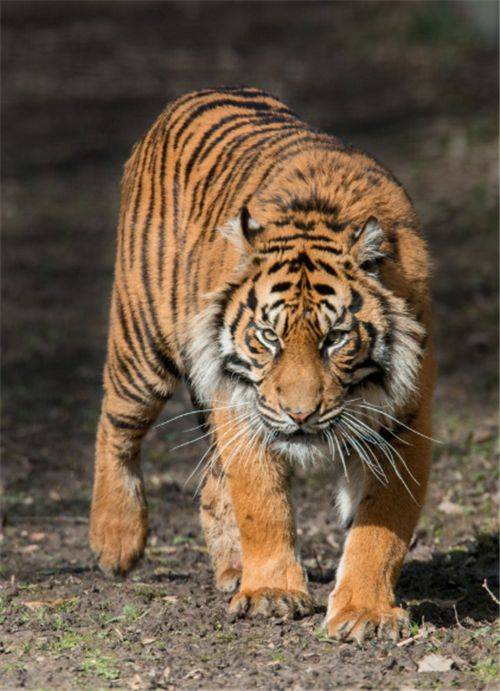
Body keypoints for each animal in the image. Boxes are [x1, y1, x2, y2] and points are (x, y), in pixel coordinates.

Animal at [89, 87, 436, 643]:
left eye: (335, 339)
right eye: (269, 336)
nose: (300, 415)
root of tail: (195, 92)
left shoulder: (406, 418)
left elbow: (381, 528)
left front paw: (365, 611)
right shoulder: (241, 406)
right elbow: (261, 503)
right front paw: (273, 592)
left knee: (212, 481)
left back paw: (233, 569)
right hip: (143, 342)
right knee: (115, 425)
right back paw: (115, 540)